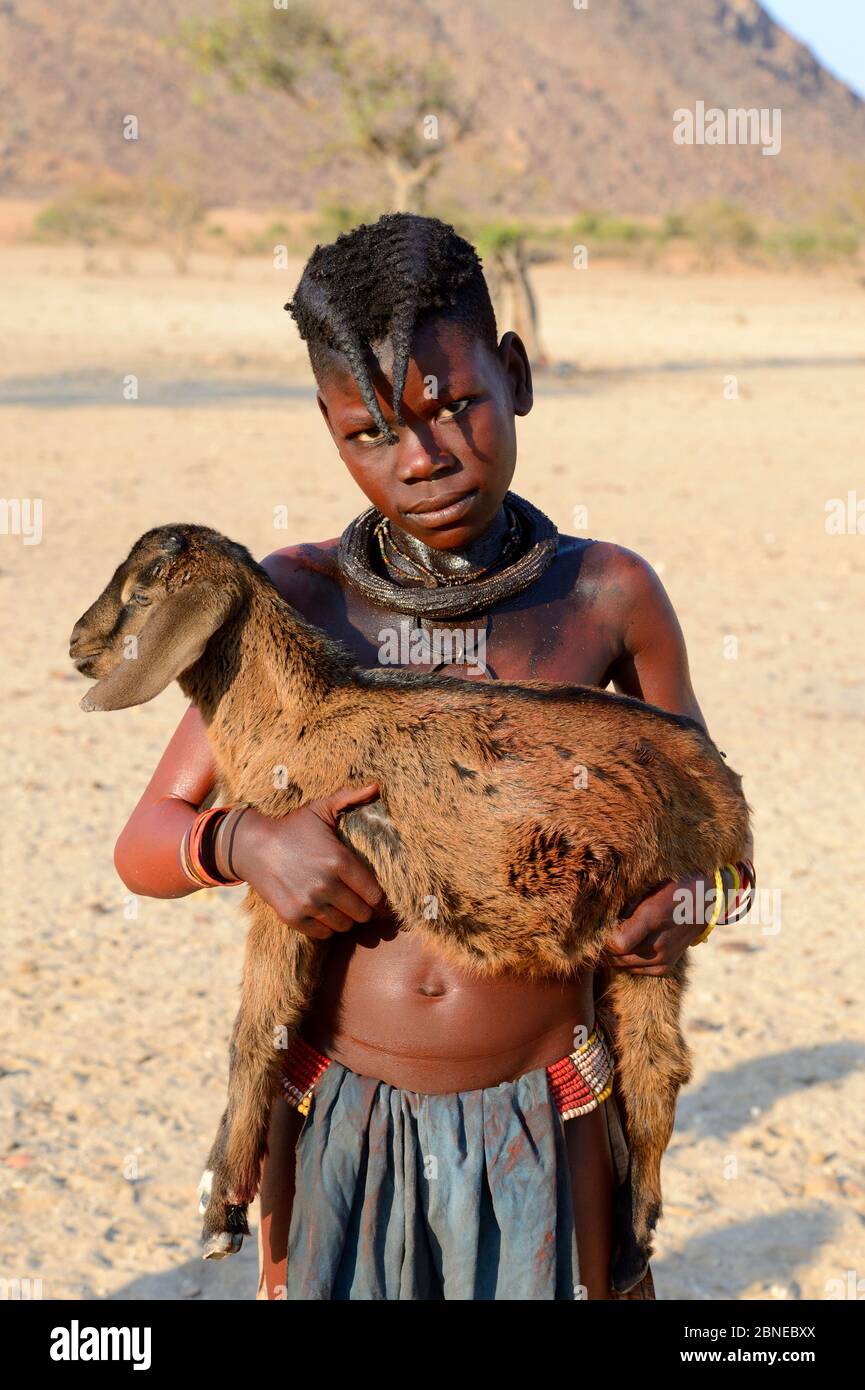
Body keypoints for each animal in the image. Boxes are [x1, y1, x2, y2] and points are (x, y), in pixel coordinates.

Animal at [69, 523, 750, 1293]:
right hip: (646, 942)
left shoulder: (282, 896)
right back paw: (634, 1241)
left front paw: (221, 1213)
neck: (300, 714)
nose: (76, 644)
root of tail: (723, 786)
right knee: (657, 1064)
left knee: (654, 1063)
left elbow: (255, 1034)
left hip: (658, 914)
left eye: (140, 592)